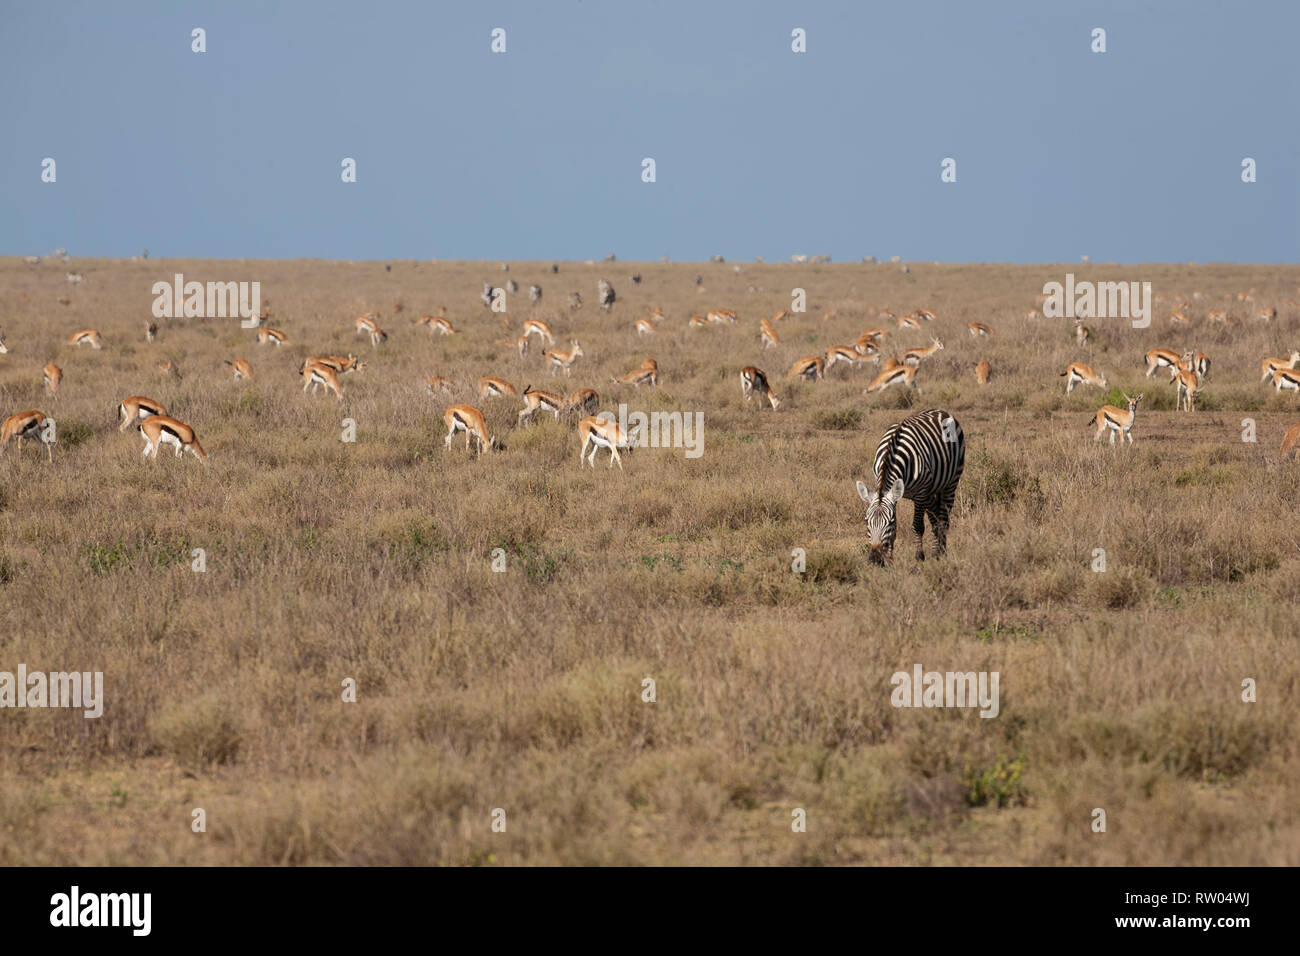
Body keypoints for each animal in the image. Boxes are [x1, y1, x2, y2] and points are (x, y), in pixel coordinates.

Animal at [855, 408, 965, 565]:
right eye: (866, 521)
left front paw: (919, 557)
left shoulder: (920, 493)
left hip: (950, 483)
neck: (892, 454)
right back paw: (936, 552)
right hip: (930, 492)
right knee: (935, 519)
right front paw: (890, 560)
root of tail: (941, 411)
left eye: (889, 522)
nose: (875, 559)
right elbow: (895, 532)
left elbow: (917, 526)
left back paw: (941, 553)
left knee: (944, 519)